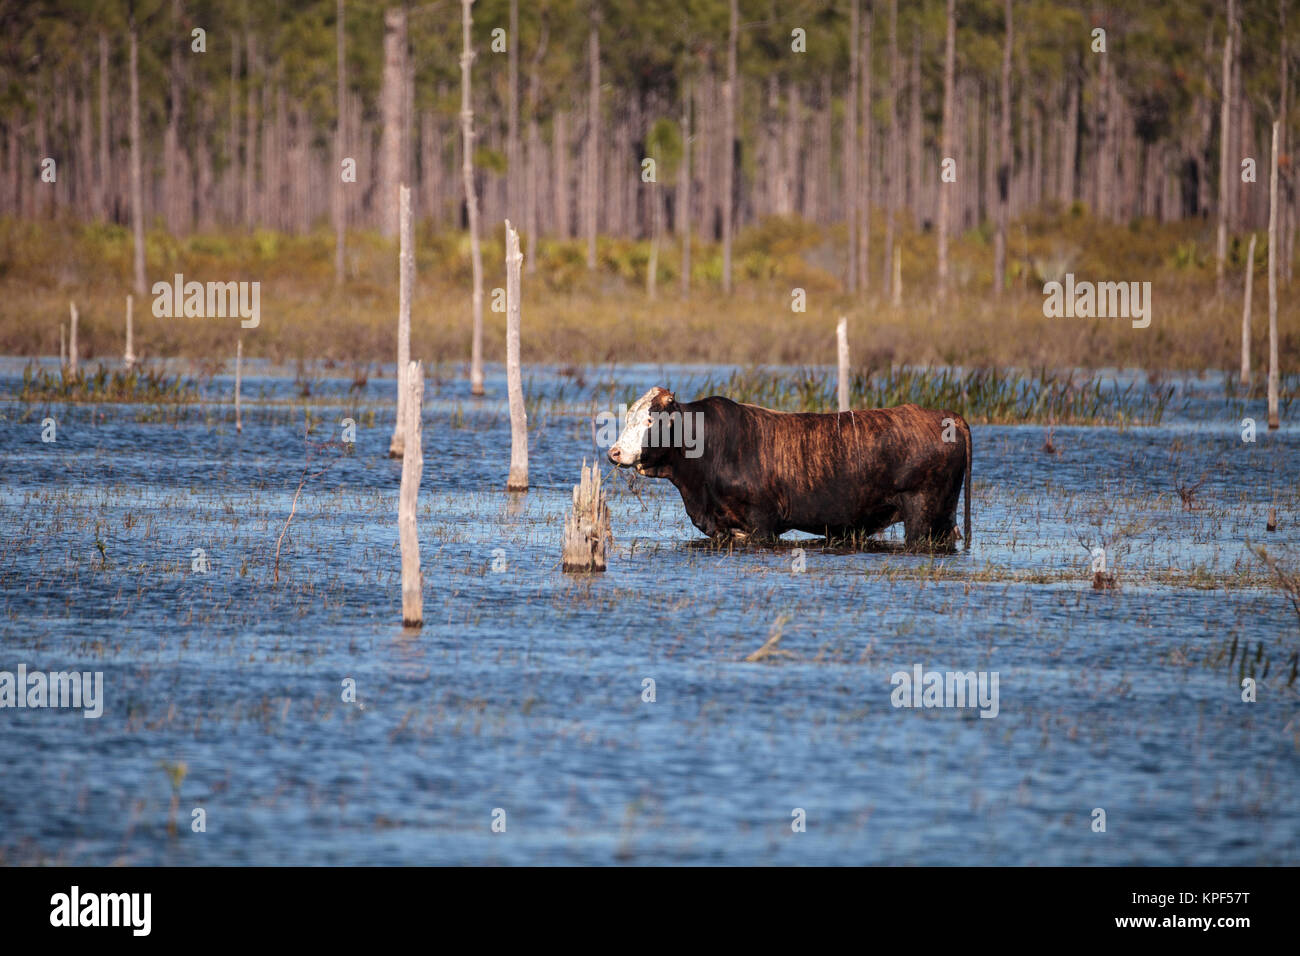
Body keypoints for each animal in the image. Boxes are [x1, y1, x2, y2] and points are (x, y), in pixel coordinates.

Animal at [607, 386, 972, 551]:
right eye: (629, 416)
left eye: (651, 420)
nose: (615, 452)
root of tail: (948, 416)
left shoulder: (761, 522)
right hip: (943, 513)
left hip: (922, 512)